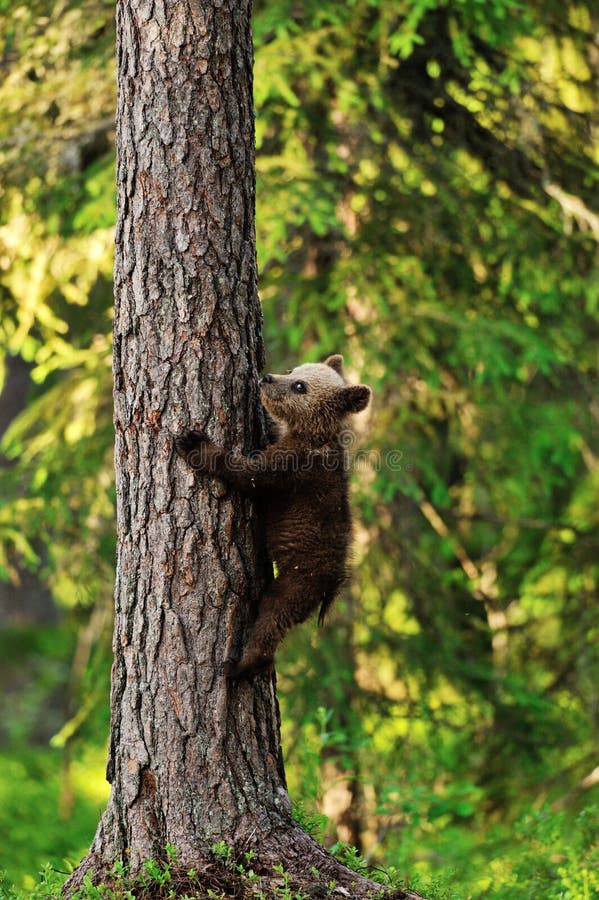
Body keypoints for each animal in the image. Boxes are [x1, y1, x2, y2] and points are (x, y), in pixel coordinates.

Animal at [175, 354, 371, 679]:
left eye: (300, 385)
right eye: (293, 371)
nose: (267, 377)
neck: (309, 434)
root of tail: (334, 585)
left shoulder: (293, 467)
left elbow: (250, 475)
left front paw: (195, 443)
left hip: (300, 578)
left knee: (273, 617)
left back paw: (239, 666)